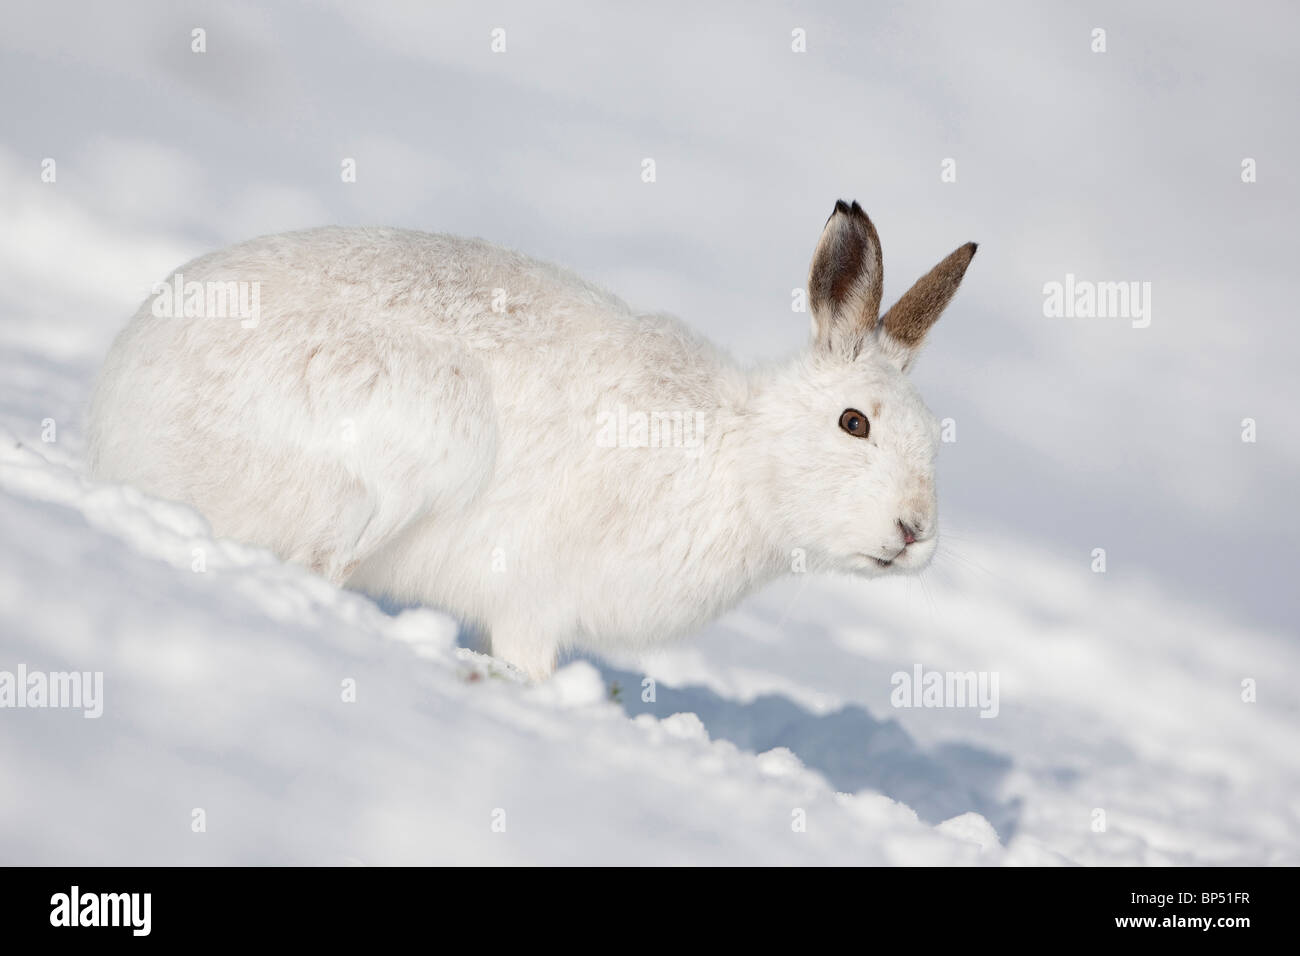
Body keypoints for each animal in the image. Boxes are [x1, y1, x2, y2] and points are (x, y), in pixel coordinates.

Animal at [87, 201, 976, 680]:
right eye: (854, 423)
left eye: (934, 444)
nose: (915, 531)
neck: (742, 456)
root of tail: (119, 423)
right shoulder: (533, 599)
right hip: (413, 440)